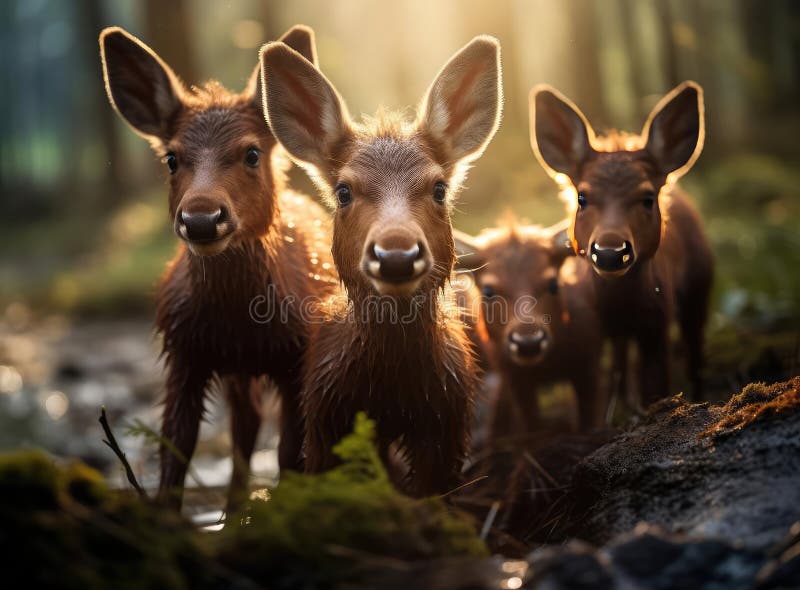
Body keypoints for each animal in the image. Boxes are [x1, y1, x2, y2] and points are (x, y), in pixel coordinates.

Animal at [100, 25, 339, 511]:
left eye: (251, 153)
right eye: (172, 158)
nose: (202, 218)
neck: (236, 319)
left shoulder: (296, 356)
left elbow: (290, 453)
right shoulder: (183, 352)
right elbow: (175, 448)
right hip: (237, 374)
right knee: (243, 431)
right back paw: (230, 510)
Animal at [259, 36, 503, 496]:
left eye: (439, 188)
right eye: (343, 191)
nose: (396, 256)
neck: (390, 387)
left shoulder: (447, 426)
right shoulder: (325, 420)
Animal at [454, 220, 604, 441]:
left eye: (553, 283)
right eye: (488, 290)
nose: (528, 343)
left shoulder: (588, 364)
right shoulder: (515, 379)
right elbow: (531, 430)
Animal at [529, 82, 713, 408]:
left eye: (648, 197)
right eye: (582, 197)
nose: (609, 253)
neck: (619, 306)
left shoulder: (657, 324)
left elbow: (656, 389)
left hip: (699, 288)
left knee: (695, 354)